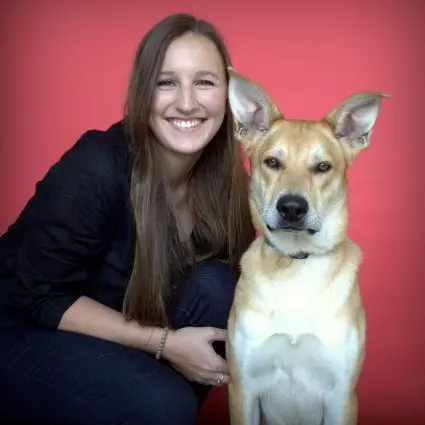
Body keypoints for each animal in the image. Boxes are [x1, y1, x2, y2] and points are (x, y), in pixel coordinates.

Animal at [225, 67, 388, 424]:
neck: (296, 262)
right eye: (272, 162)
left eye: (323, 167)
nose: (291, 208)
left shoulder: (342, 397)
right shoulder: (242, 389)